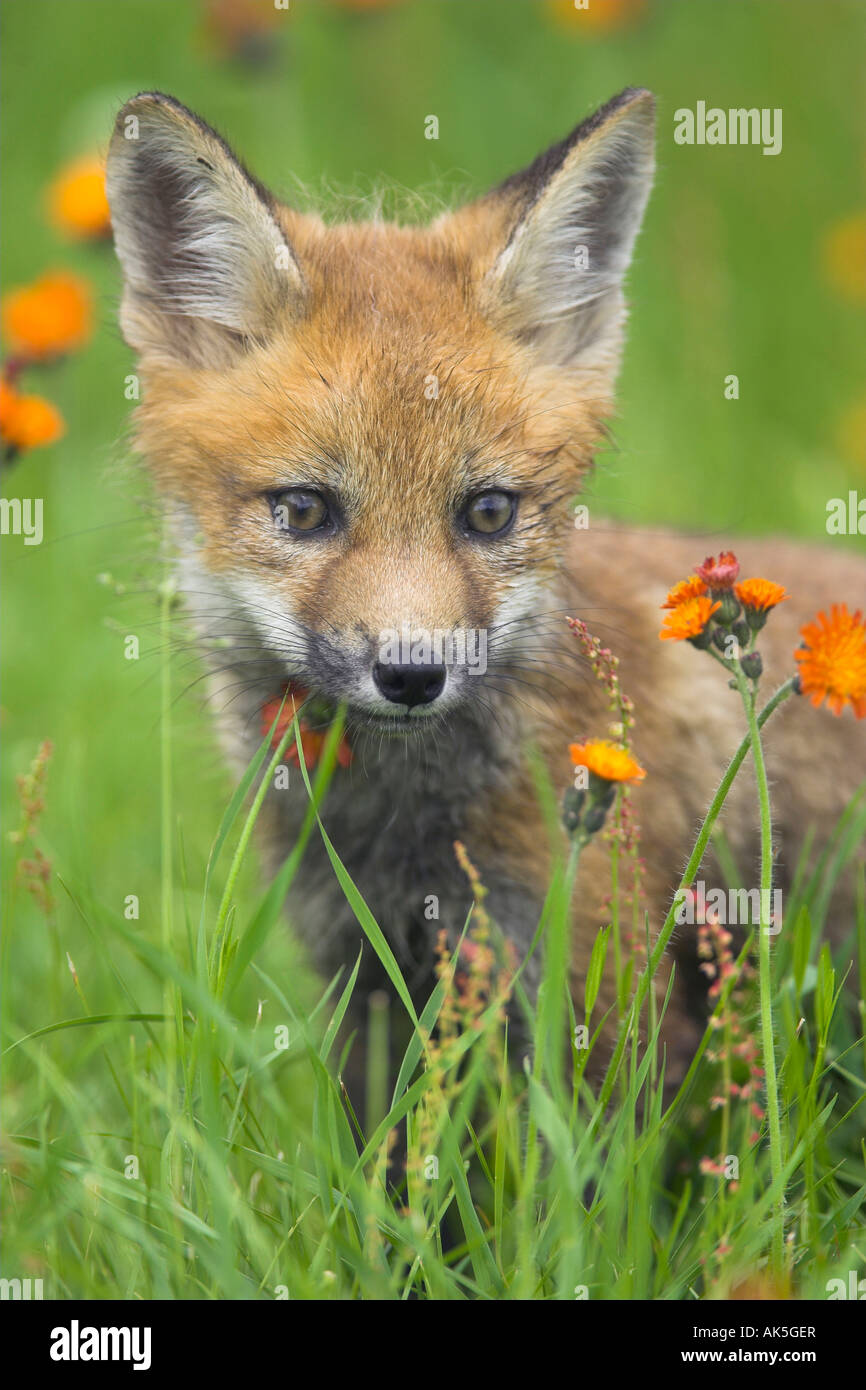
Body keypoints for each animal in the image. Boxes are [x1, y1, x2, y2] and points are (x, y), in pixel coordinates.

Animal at [105, 87, 864, 1094]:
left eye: (490, 512)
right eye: (304, 510)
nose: (412, 674)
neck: (400, 830)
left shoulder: (603, 997)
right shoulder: (366, 979)